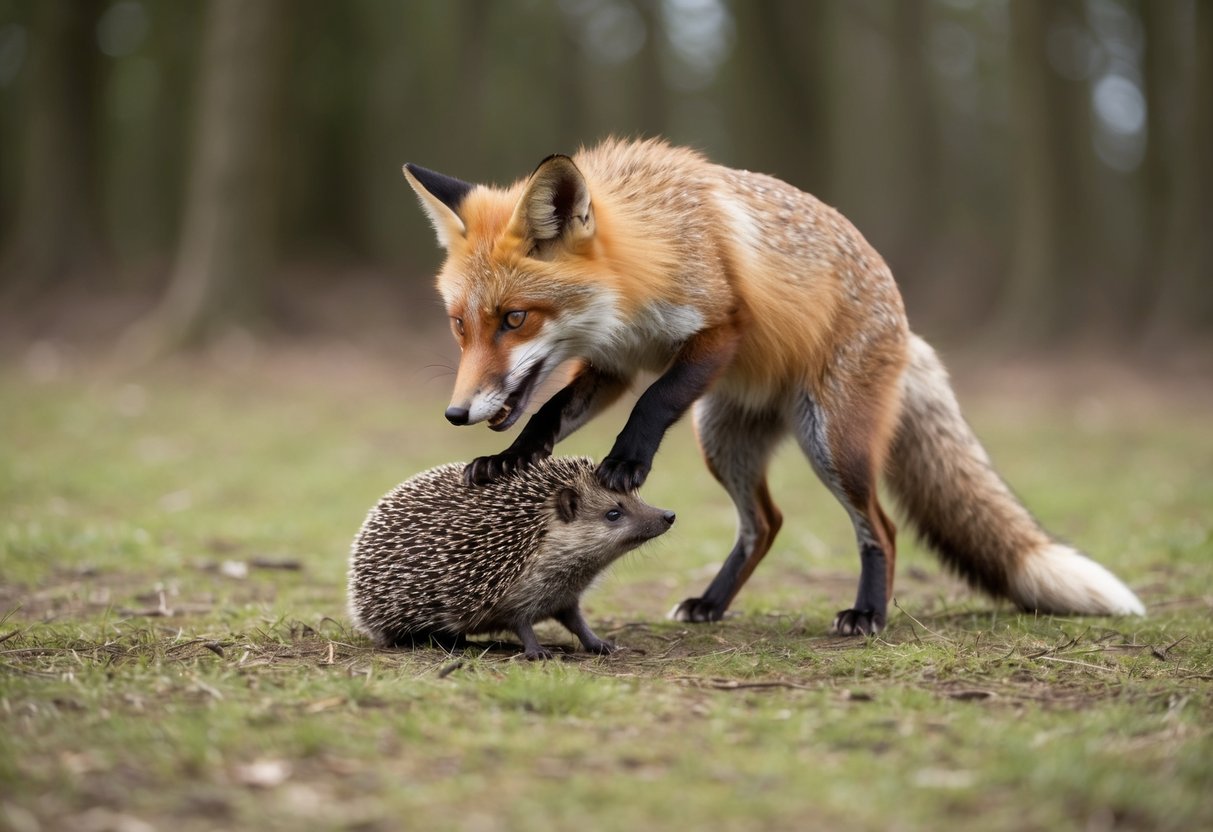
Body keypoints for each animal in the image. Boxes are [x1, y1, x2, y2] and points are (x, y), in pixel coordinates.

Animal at [401, 137, 1145, 635]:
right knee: (765, 524)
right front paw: (508, 459)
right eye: (460, 325)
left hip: (830, 443)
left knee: (880, 528)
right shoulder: (612, 366)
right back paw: (711, 603)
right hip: (723, 441)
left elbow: (655, 400)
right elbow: (548, 415)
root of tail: (905, 326)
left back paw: (867, 613)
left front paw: (626, 460)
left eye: (515, 319)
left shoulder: (720, 329)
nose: (456, 413)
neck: (646, 257)